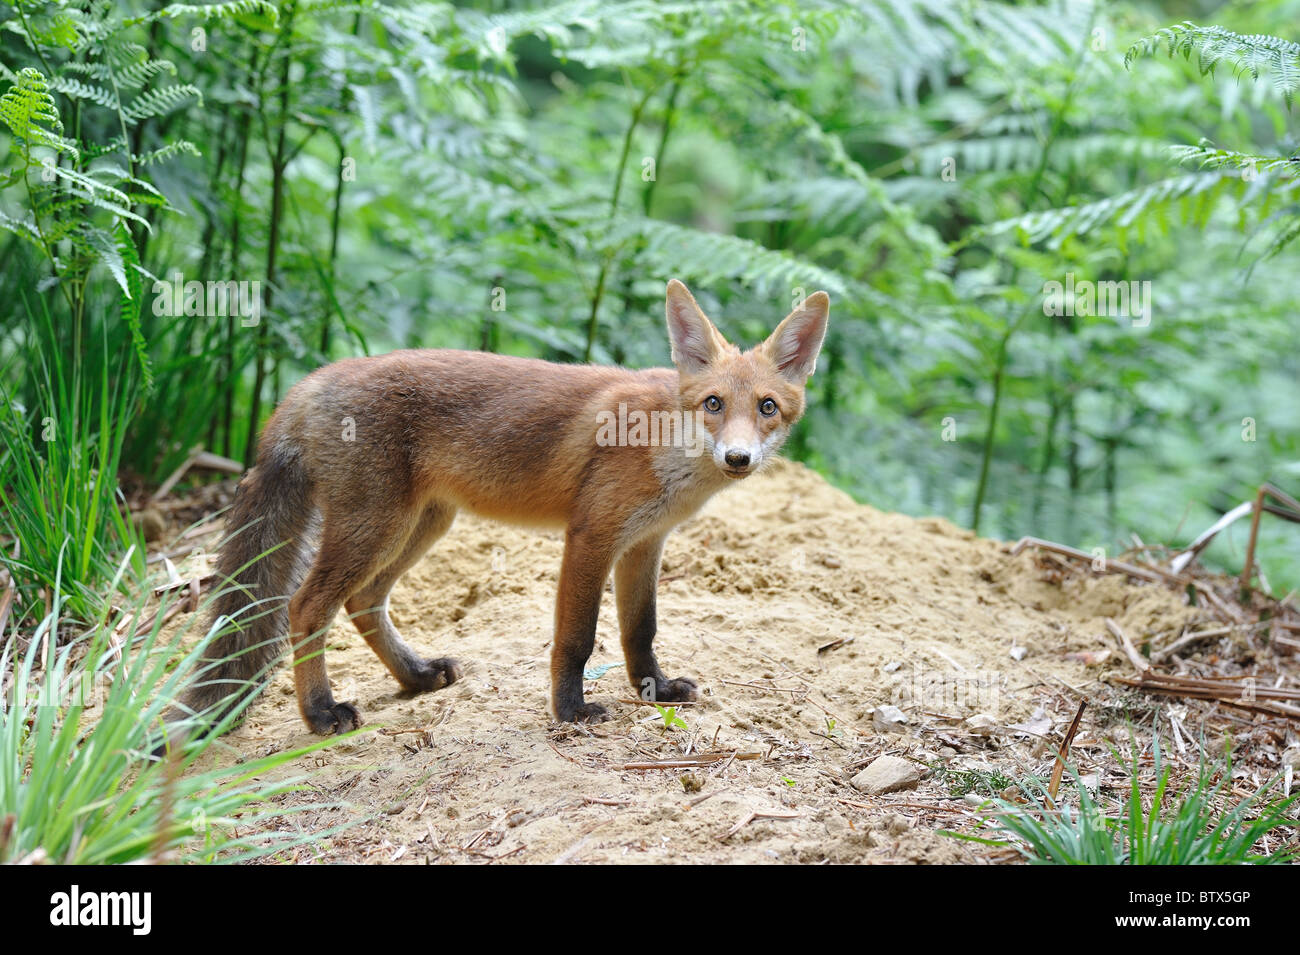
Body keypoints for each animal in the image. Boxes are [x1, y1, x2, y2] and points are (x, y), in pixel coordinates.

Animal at [166, 279, 829, 738]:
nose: (739, 457)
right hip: (374, 525)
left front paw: (655, 689)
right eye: (714, 403)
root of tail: (308, 384)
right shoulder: (591, 536)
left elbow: (639, 630)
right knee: (306, 607)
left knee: (363, 601)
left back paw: (414, 678)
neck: (662, 445)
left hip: (423, 524)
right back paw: (321, 714)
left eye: (767, 407)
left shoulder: (643, 544)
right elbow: (578, 639)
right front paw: (570, 712)